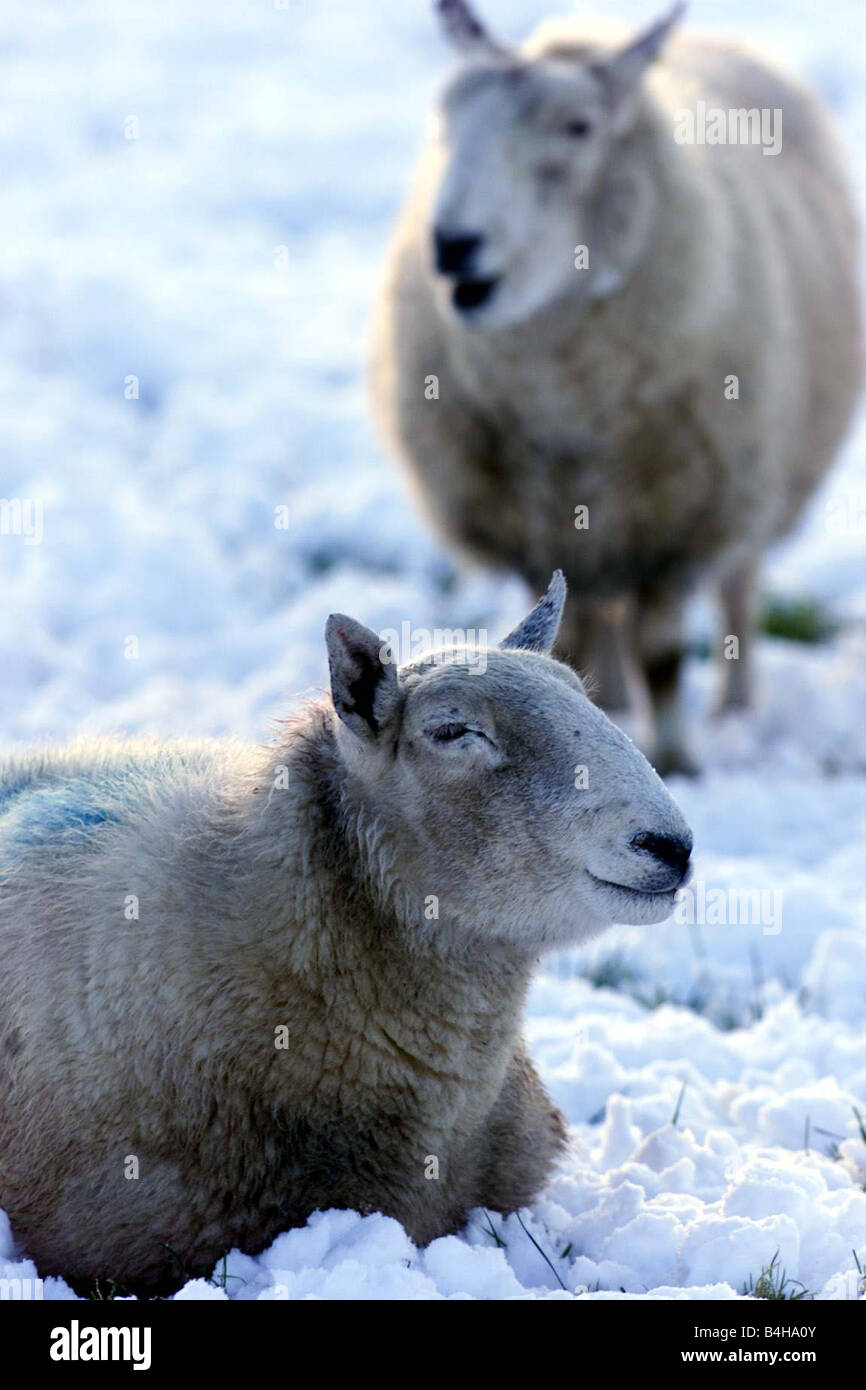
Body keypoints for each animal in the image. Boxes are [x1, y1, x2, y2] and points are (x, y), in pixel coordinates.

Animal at [371, 1, 862, 772]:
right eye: (447, 117)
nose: (452, 246)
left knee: (739, 590)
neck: (567, 396)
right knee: (600, 617)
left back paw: (735, 705)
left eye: (579, 127)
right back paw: (617, 702)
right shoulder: (532, 531)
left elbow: (662, 653)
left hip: (747, 489)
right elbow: (564, 639)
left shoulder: (685, 523)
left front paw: (679, 759)